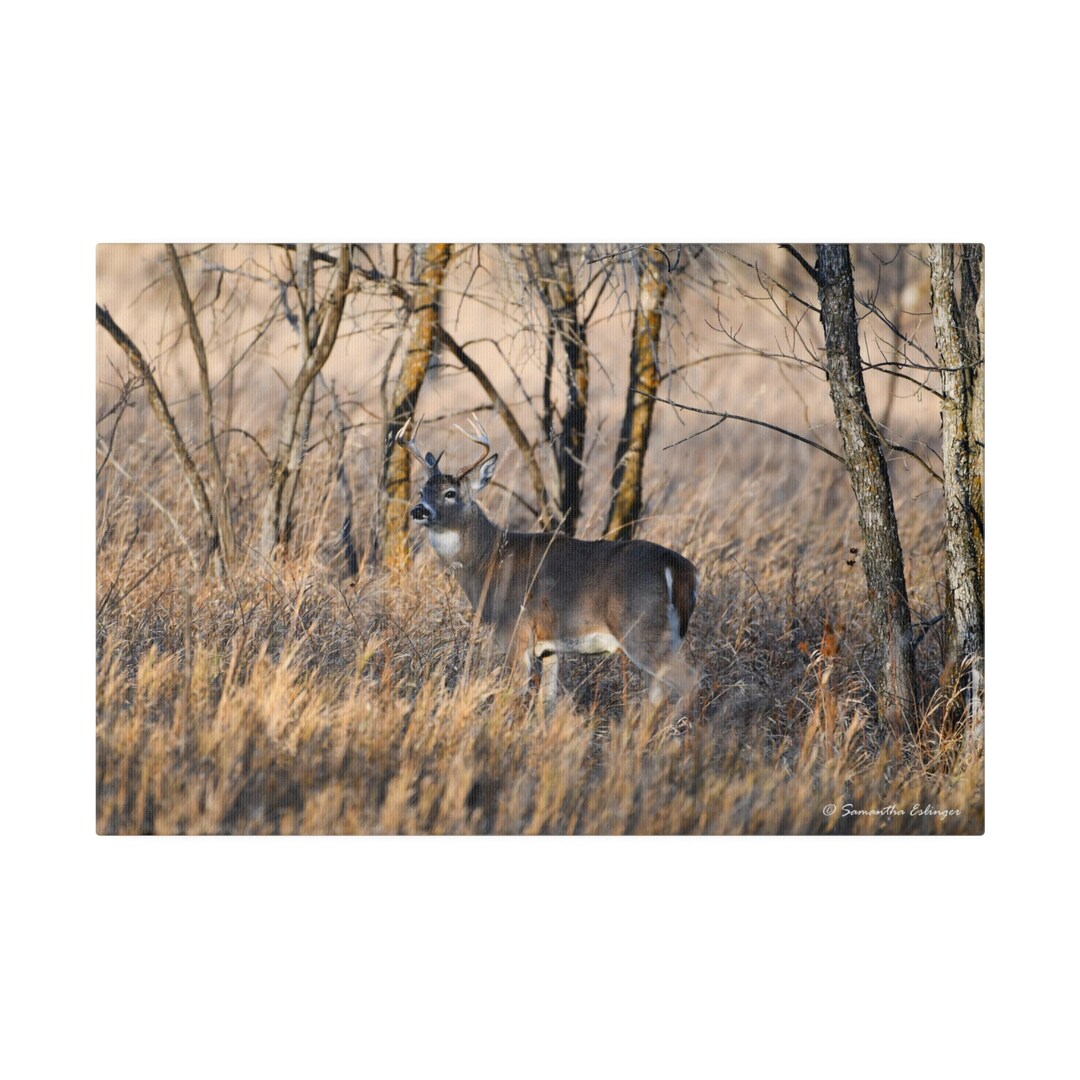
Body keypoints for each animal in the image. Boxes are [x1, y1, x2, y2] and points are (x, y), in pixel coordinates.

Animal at [397, 416, 699, 714]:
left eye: (450, 493)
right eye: (421, 491)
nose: (419, 510)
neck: (489, 561)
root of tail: (682, 569)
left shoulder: (515, 631)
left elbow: (514, 698)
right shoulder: (549, 646)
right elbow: (547, 701)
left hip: (642, 628)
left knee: (689, 682)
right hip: (664, 635)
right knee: (659, 694)